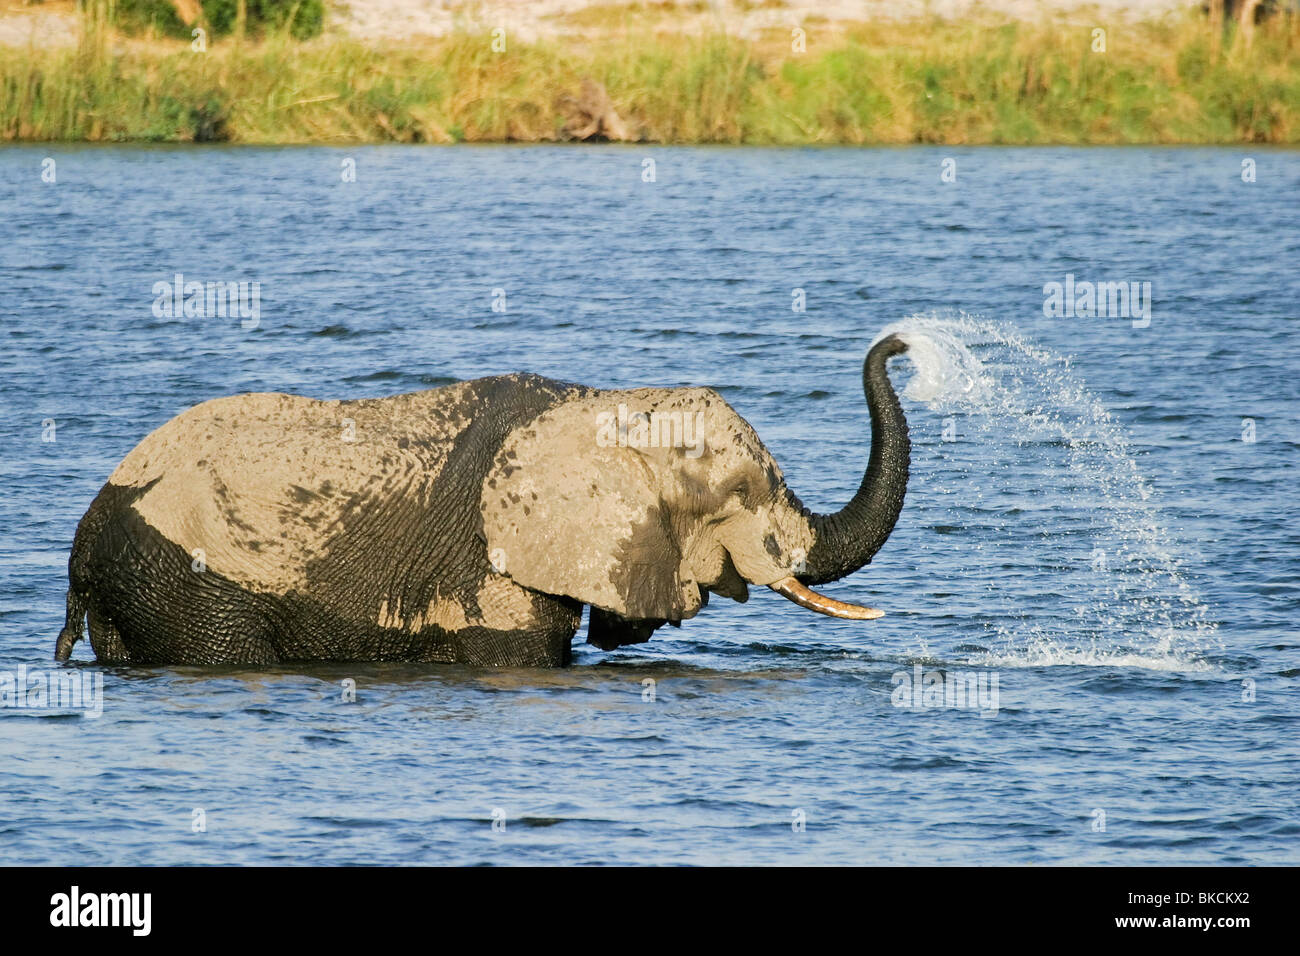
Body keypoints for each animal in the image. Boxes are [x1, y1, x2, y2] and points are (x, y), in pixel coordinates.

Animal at [54, 334, 912, 668]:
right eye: (739, 493)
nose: (900, 345)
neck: (603, 404)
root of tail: (88, 533)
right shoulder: (491, 561)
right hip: (193, 577)